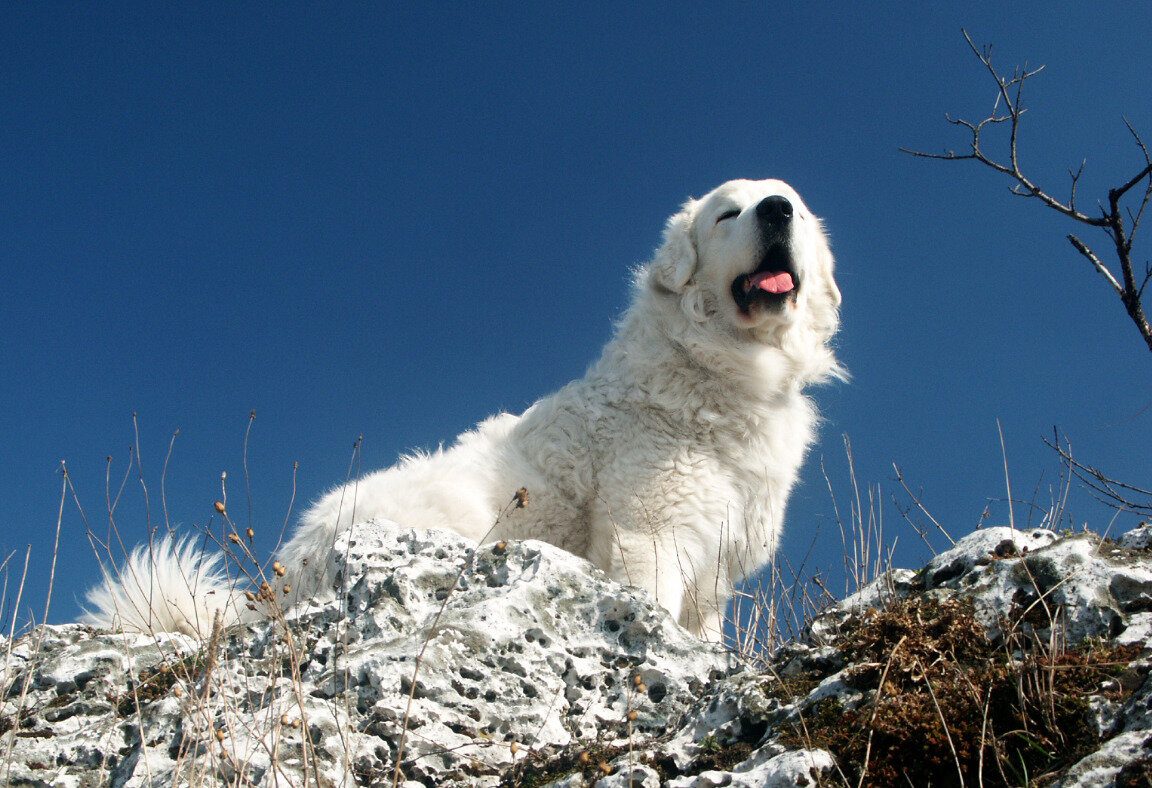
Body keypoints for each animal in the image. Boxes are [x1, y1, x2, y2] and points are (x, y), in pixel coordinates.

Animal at [81, 178, 838, 640]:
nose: (777, 209)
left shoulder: (713, 572)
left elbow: (705, 637)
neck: (716, 368)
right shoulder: (649, 538)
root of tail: (278, 579)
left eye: (792, 208)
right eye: (728, 213)